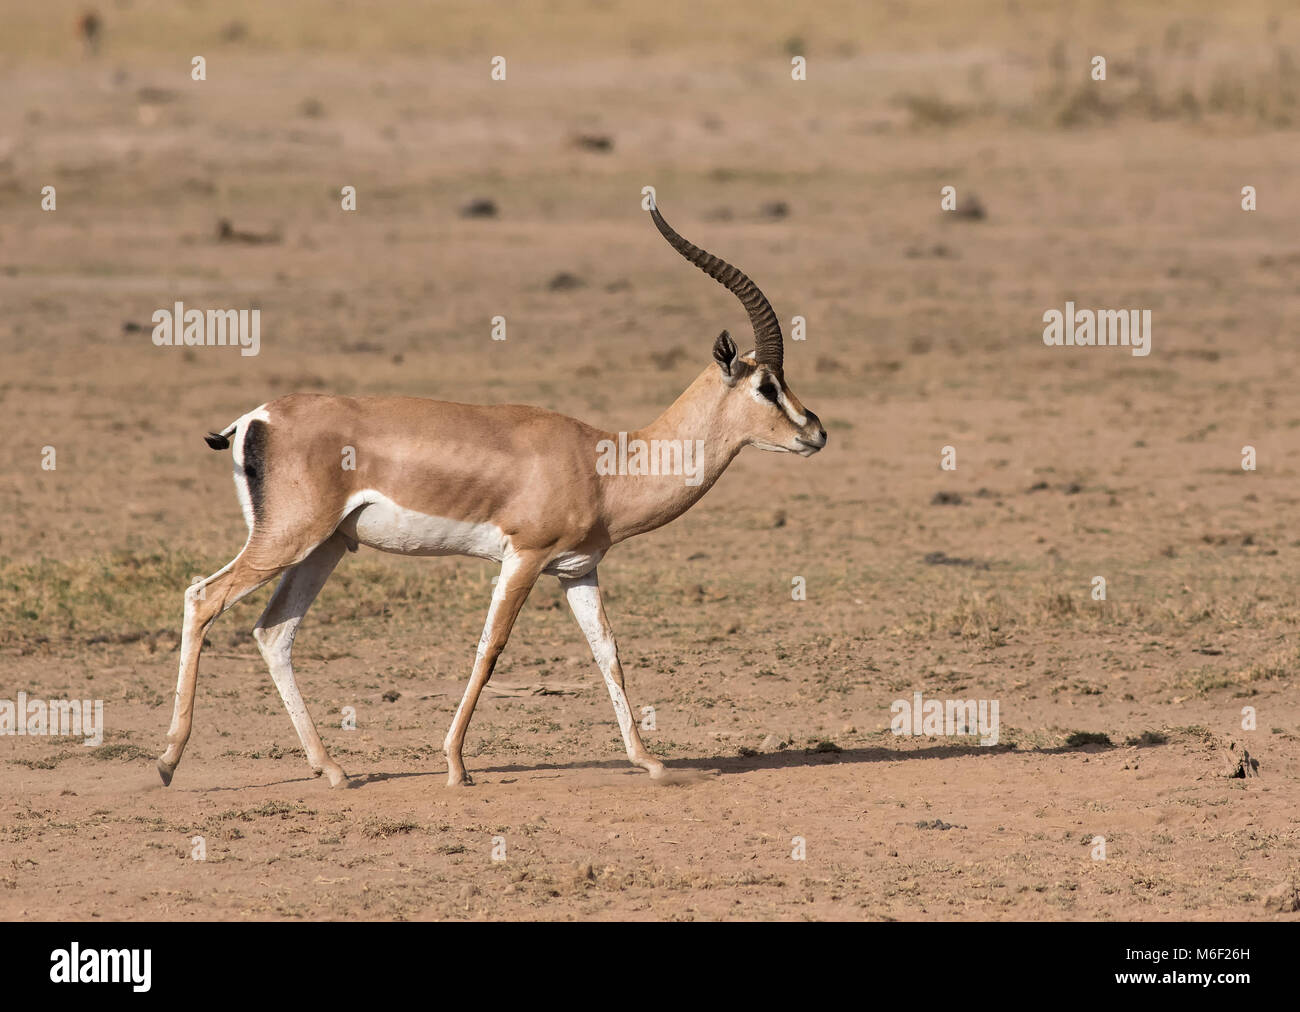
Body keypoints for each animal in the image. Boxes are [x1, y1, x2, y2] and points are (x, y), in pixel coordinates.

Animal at [157, 203, 827, 789]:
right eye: (767, 385)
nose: (817, 432)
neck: (606, 463)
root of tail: (255, 418)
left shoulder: (576, 570)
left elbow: (608, 651)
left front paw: (652, 763)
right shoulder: (523, 557)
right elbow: (491, 648)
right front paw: (456, 766)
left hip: (324, 547)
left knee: (274, 632)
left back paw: (334, 771)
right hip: (287, 539)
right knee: (203, 597)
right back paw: (167, 762)